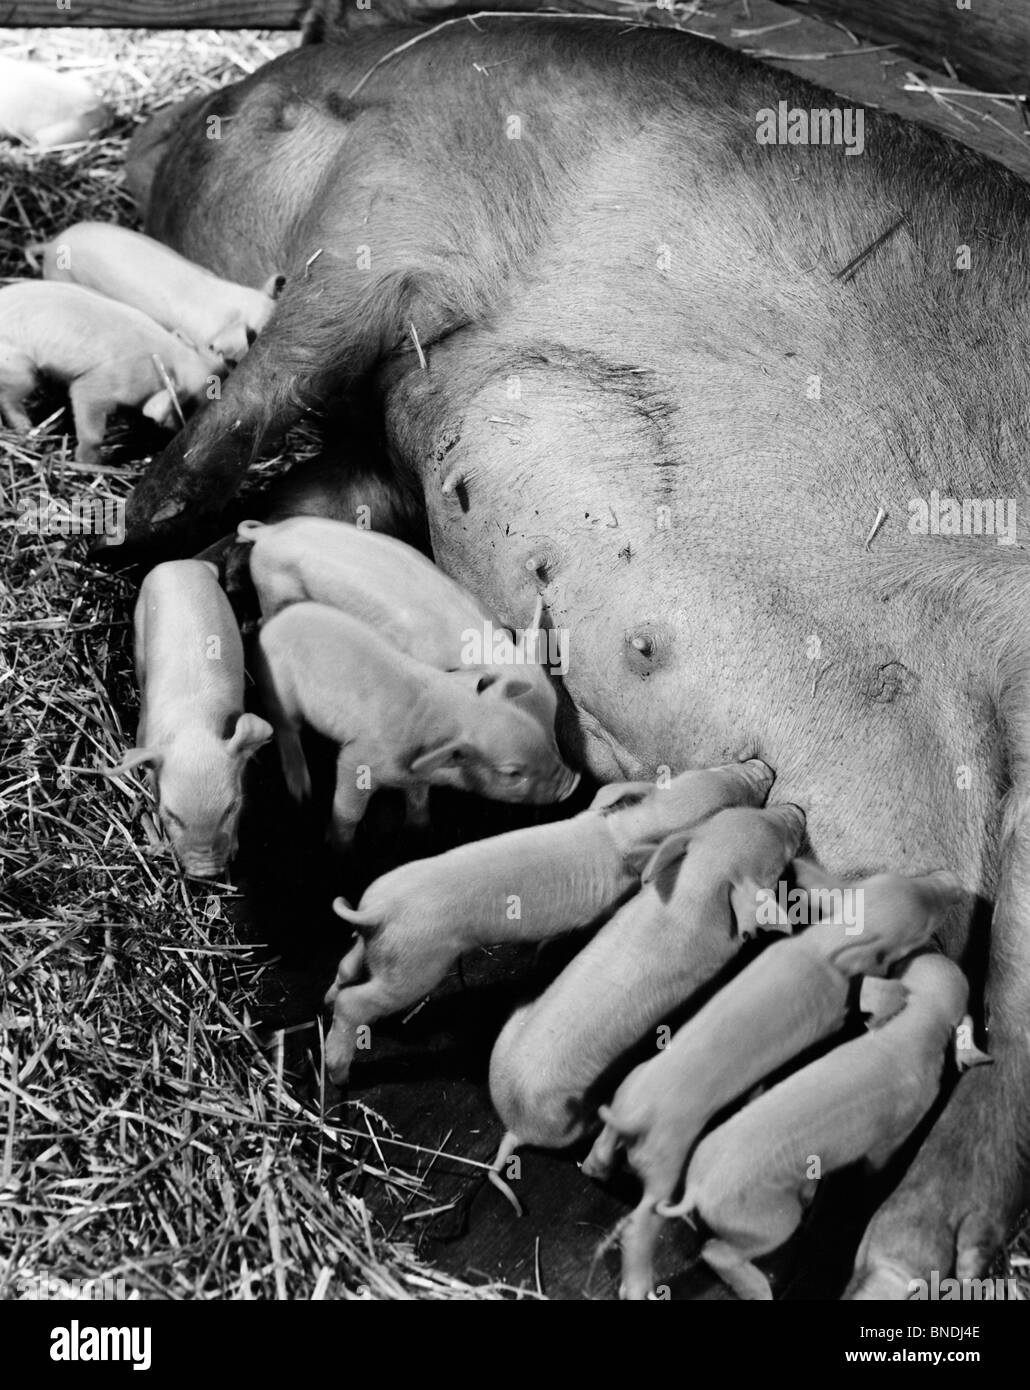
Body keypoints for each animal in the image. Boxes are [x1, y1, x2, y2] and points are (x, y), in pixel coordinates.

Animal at [0, 281, 224, 466]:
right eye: (190, 407)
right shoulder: (104, 383)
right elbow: (89, 420)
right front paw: (91, 463)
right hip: (20, 370)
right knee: (8, 399)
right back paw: (28, 432)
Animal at [255, 601, 579, 849]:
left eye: (544, 736)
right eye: (511, 773)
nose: (573, 782)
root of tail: (273, 624)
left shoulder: (418, 779)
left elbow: (419, 803)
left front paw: (420, 832)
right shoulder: (356, 760)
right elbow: (348, 812)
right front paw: (338, 846)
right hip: (281, 691)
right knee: (284, 728)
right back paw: (301, 791)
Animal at [323, 758, 774, 1085]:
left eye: (714, 770)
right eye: (726, 809)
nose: (764, 768)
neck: (621, 834)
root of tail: (376, 911)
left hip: (378, 943)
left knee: (346, 965)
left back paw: (328, 996)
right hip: (415, 965)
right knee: (357, 1003)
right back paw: (338, 1071)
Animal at [487, 802, 807, 1209]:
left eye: (745, 809)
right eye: (782, 855)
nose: (797, 809)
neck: (697, 886)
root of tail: (514, 1125)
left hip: (508, 1031)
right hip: (570, 1121)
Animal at [677, 952, 990, 1302]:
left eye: (903, 966)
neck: (913, 1026)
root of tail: (696, 1189)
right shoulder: (898, 1130)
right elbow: (879, 1162)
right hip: (762, 1218)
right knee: (717, 1251)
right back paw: (759, 1289)